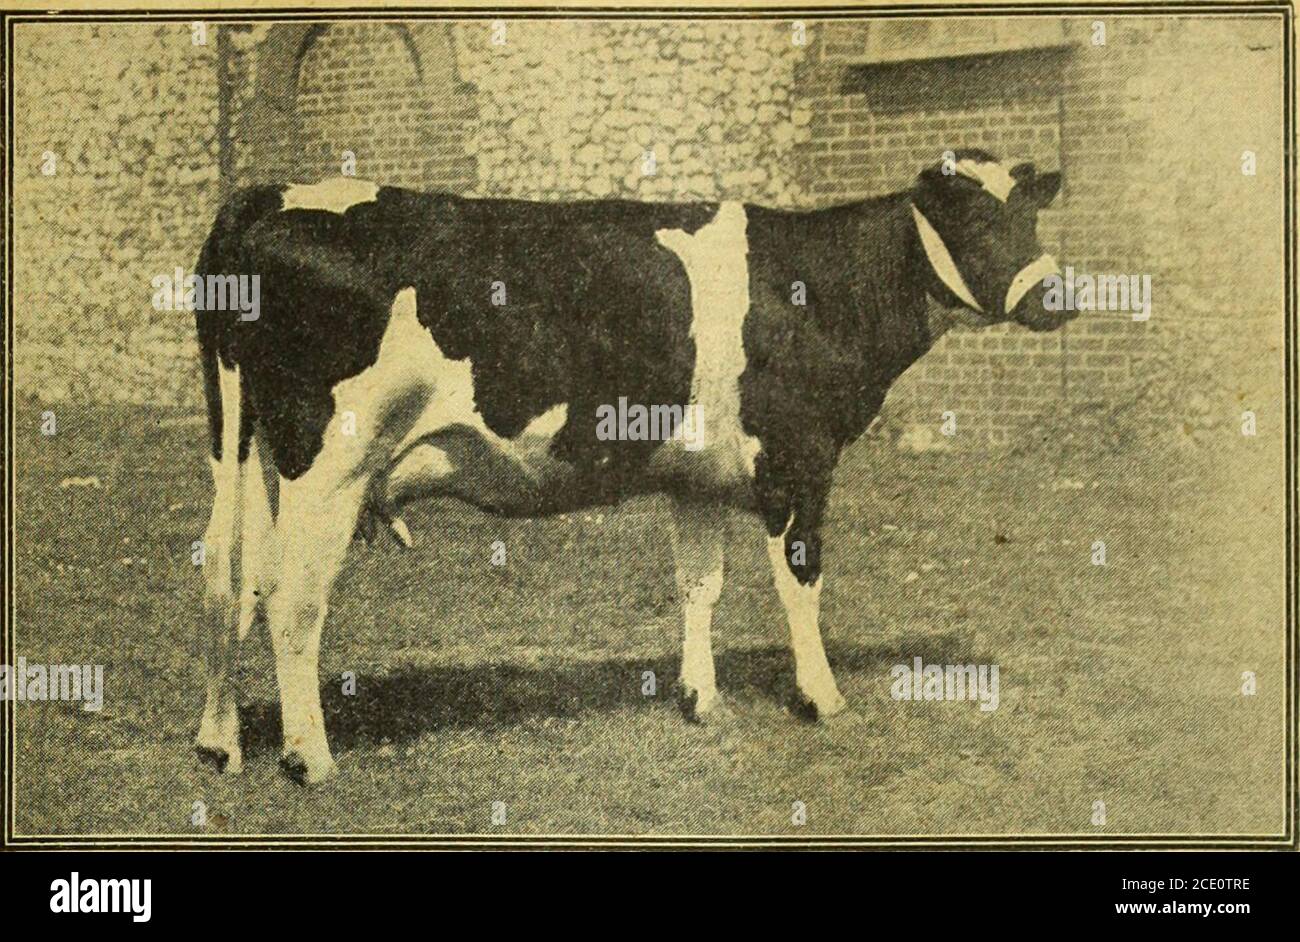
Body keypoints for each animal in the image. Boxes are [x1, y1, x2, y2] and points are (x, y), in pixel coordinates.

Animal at [192, 148, 1069, 784]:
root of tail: (262, 196)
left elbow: (699, 586)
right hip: (329, 462)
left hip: (245, 448)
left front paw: (700, 698)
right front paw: (822, 697)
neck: (819, 285)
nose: (1057, 296)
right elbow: (800, 582)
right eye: (978, 223)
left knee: (230, 577)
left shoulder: (696, 475)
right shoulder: (799, 458)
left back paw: (219, 742)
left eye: (1031, 216)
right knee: (293, 600)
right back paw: (310, 757)